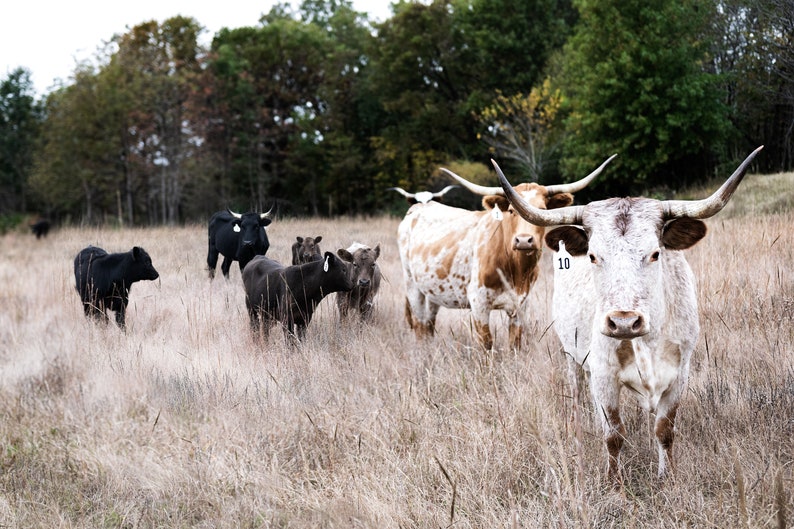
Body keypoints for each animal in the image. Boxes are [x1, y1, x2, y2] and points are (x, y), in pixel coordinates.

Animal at [397, 156, 615, 351]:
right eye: (511, 210)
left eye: (543, 209)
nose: (524, 240)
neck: (515, 268)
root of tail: (418, 207)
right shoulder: (478, 304)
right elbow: (486, 345)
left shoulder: (521, 305)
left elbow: (515, 344)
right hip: (411, 285)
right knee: (419, 324)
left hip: (432, 291)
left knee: (429, 323)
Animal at [495, 146, 764, 484]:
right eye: (593, 256)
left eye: (655, 253)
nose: (624, 321)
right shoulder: (604, 375)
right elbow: (613, 434)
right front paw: (614, 483)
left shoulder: (680, 374)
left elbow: (665, 430)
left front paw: (668, 477)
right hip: (573, 357)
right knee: (578, 393)